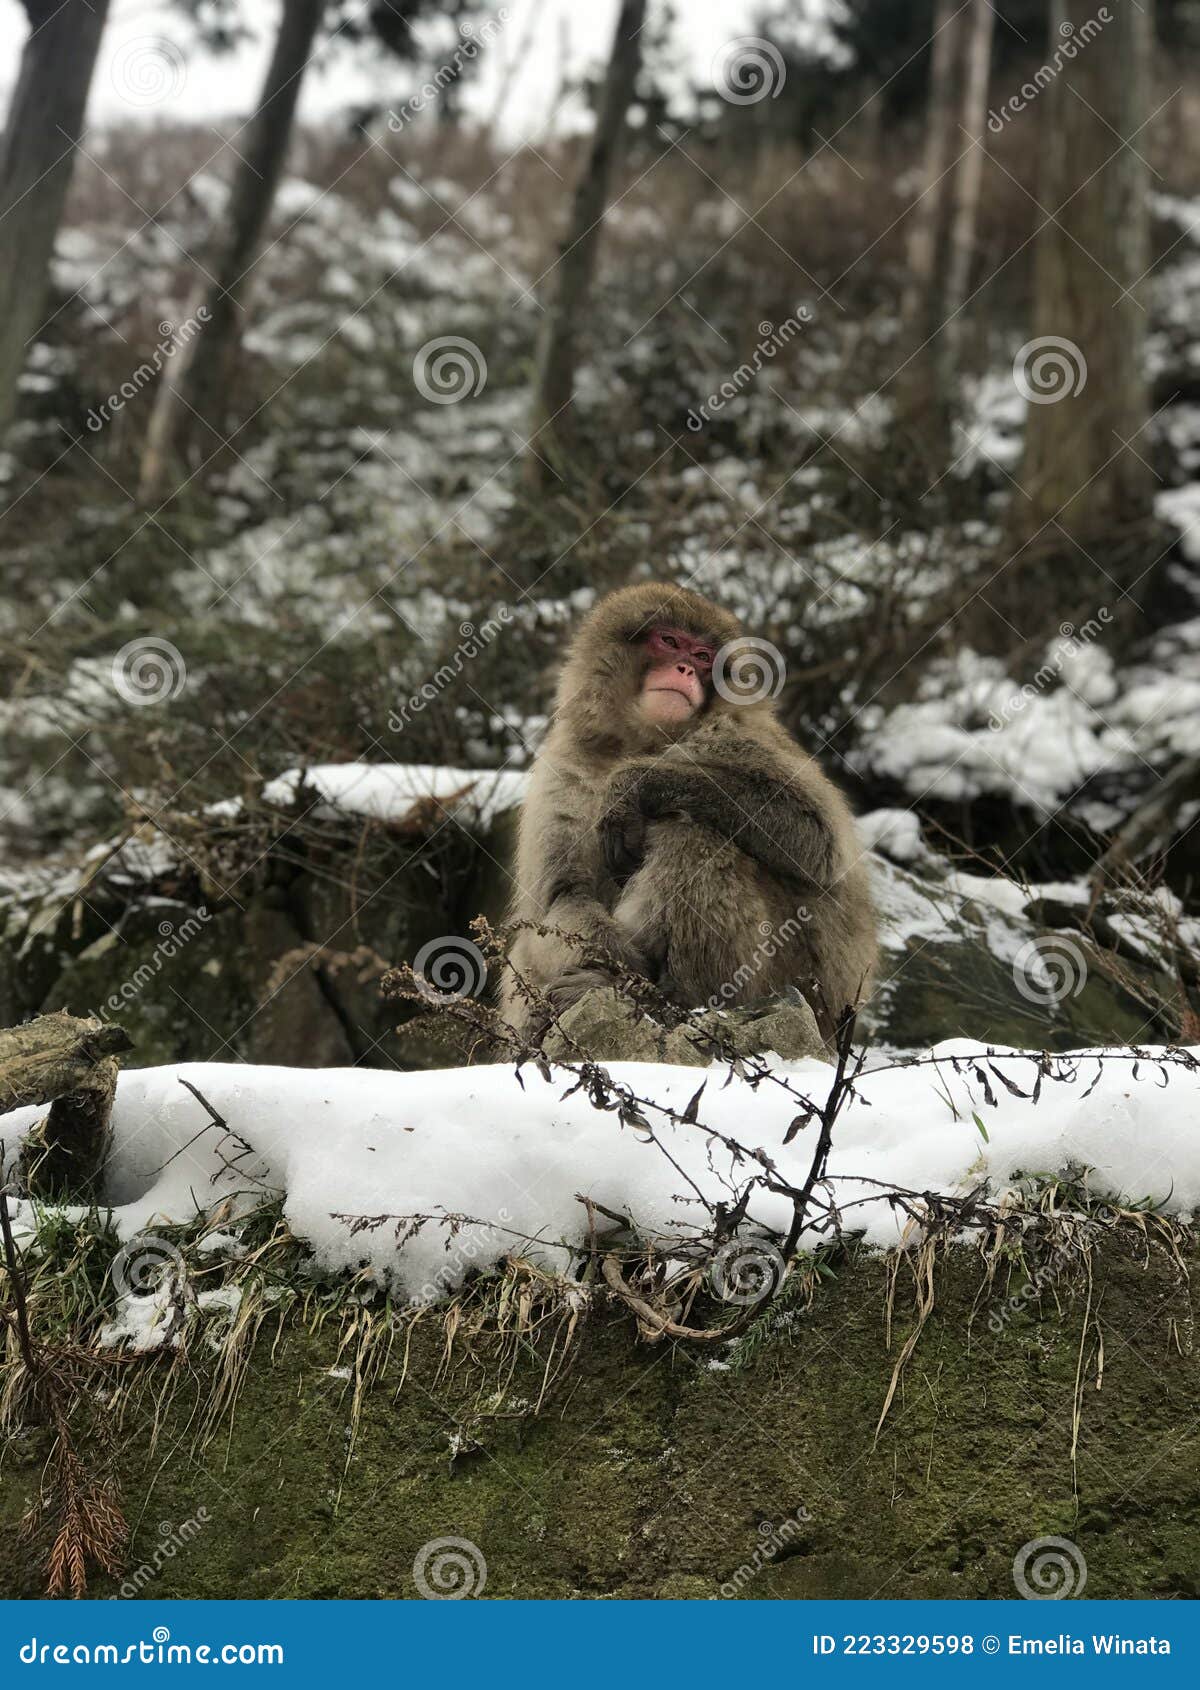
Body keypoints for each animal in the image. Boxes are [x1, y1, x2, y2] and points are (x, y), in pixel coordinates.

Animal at [502, 582, 877, 1045]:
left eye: (702, 655)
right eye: (670, 641)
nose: (684, 669)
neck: (641, 741)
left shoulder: (737, 734)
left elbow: (819, 842)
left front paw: (634, 787)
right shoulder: (565, 766)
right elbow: (563, 894)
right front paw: (623, 962)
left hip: (802, 983)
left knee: (692, 829)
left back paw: (674, 999)